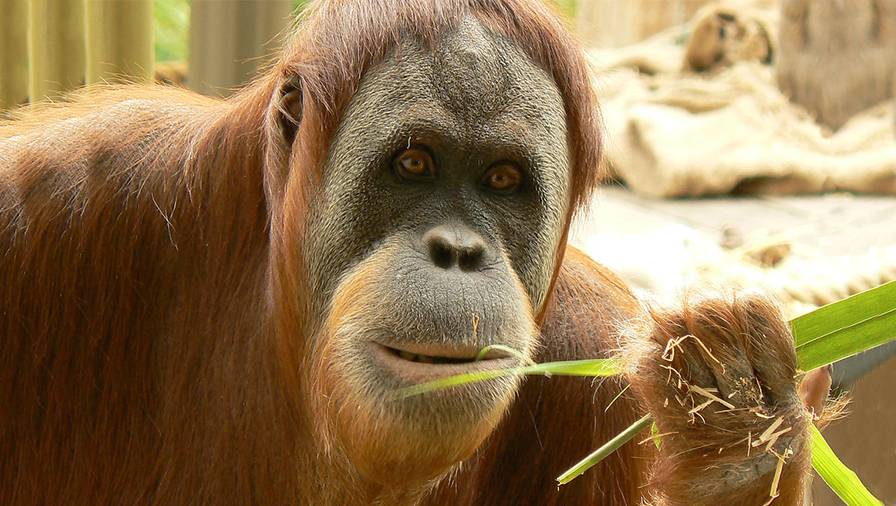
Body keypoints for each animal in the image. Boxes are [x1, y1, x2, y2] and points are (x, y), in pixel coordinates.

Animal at [1, 1, 817, 504]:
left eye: (502, 179)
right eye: (414, 163)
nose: (457, 250)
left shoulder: (597, 361)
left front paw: (737, 434)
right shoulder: (59, 200)